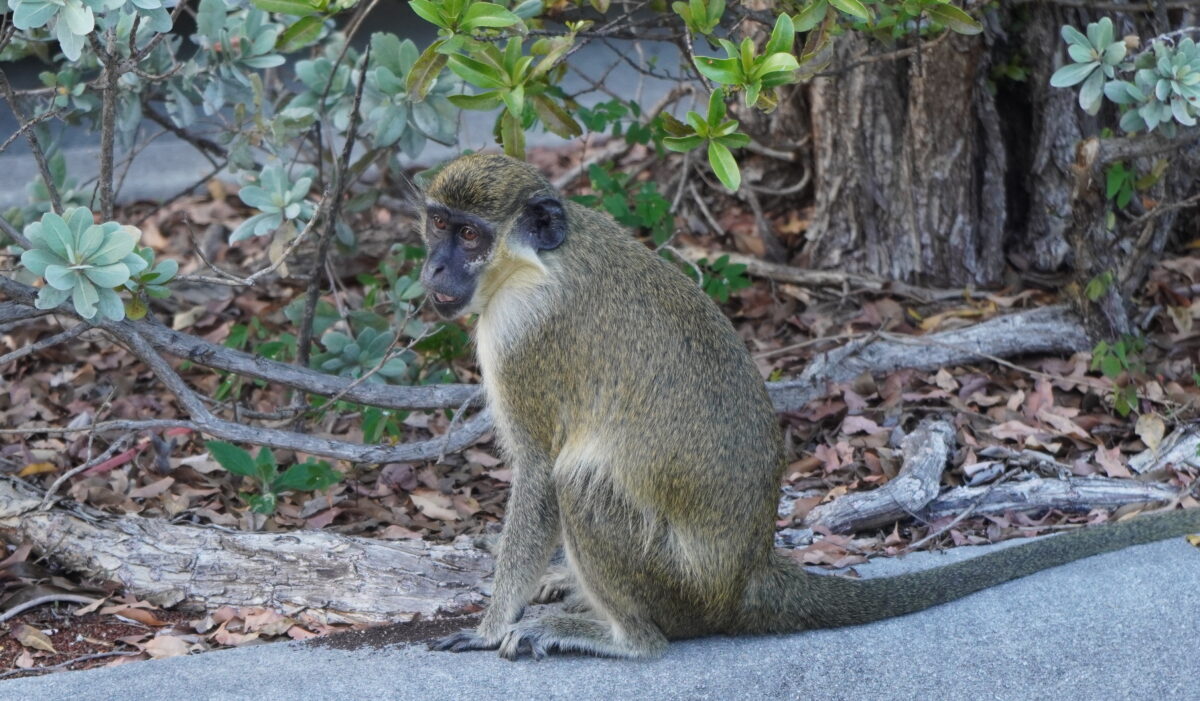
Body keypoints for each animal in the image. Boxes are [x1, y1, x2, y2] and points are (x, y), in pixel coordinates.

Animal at [414, 153, 1200, 660]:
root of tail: (743, 579)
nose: (432, 267)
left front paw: (488, 626)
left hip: (677, 586)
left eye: (471, 236)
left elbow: (539, 472)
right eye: (438, 226)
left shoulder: (524, 337)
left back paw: (624, 637)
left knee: (583, 483)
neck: (538, 262)